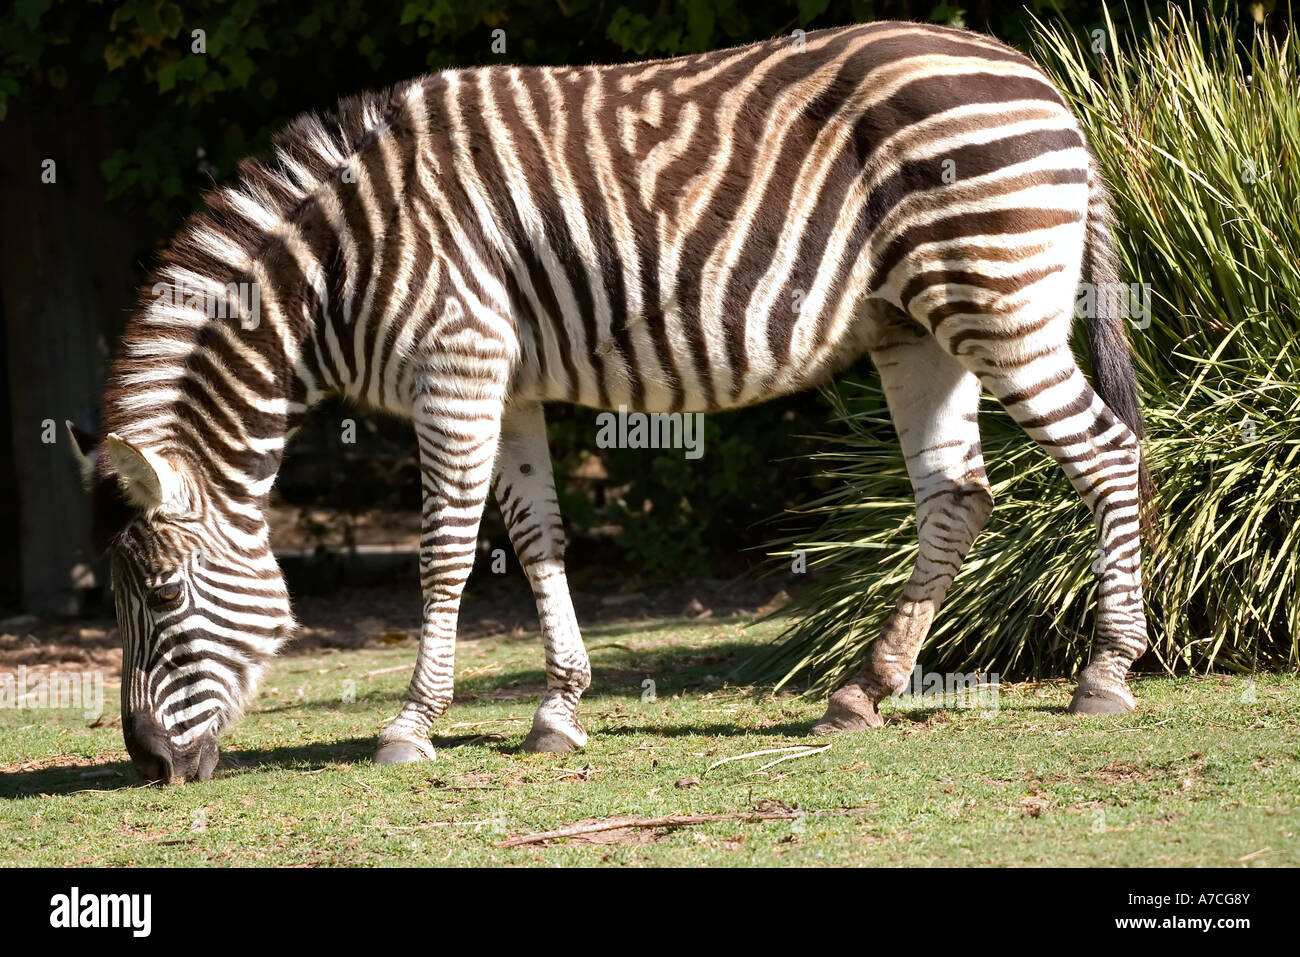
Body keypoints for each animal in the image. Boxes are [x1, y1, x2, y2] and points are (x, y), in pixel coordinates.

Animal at [67, 20, 1151, 783]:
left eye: (161, 596)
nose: (147, 764)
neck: (339, 266)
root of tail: (1040, 79)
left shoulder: (455, 366)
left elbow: (445, 553)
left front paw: (412, 724)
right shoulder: (501, 382)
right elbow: (537, 538)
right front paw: (558, 709)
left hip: (995, 302)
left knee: (1105, 453)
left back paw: (1106, 672)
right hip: (916, 331)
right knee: (957, 496)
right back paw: (862, 692)